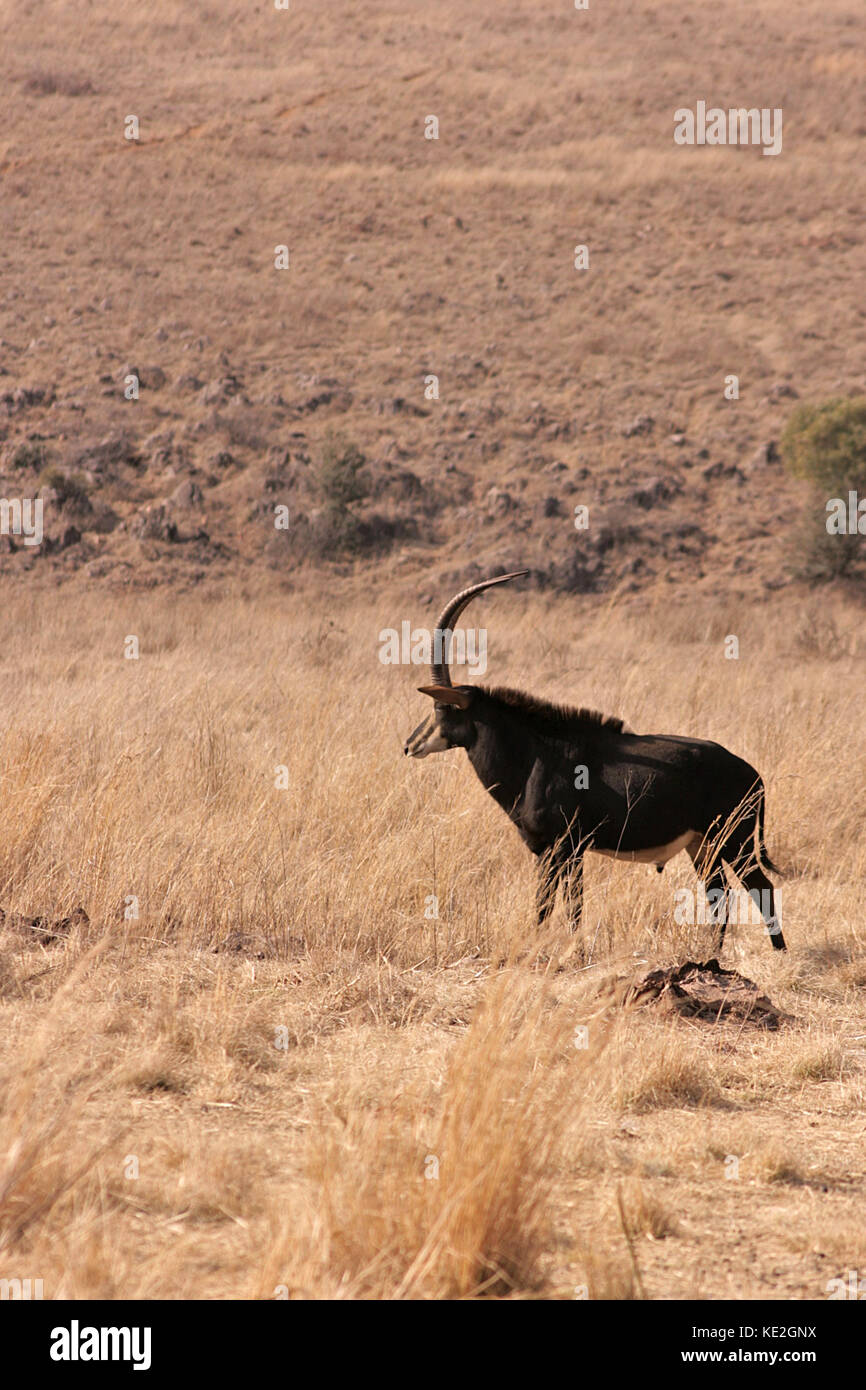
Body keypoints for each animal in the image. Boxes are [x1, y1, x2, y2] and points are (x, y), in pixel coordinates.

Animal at [403, 572, 786, 952]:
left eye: (441, 707)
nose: (410, 745)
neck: (535, 756)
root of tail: (753, 775)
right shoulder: (556, 852)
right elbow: (557, 905)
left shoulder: (565, 848)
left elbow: (562, 905)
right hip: (703, 845)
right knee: (719, 892)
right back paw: (711, 953)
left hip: (734, 841)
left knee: (759, 886)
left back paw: (776, 953)